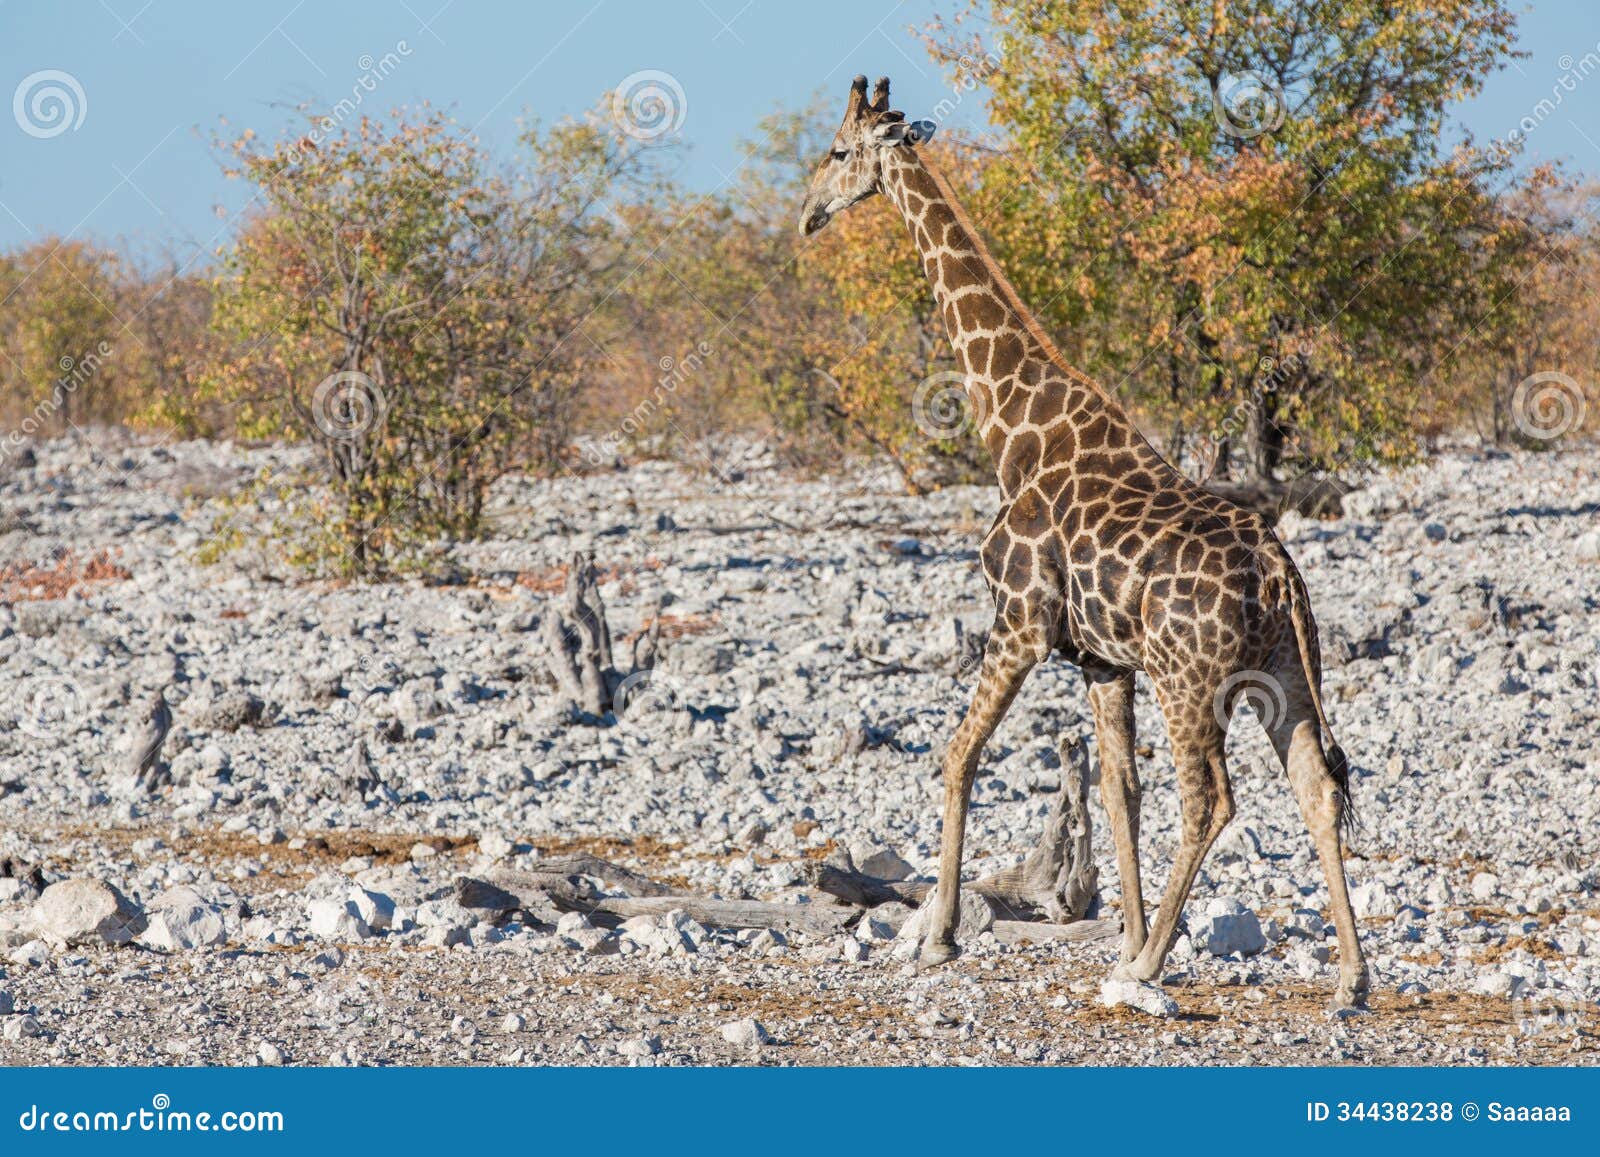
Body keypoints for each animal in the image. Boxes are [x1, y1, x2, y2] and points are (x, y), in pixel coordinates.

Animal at [798, 76, 1369, 1010]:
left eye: (839, 152)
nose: (810, 215)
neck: (1011, 427)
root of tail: (1280, 573)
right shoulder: (1103, 659)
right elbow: (1118, 791)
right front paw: (1127, 933)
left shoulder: (1019, 622)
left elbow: (959, 756)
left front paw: (942, 938)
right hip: (1283, 668)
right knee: (1315, 785)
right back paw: (1352, 977)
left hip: (1192, 677)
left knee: (1211, 800)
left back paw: (1150, 967)